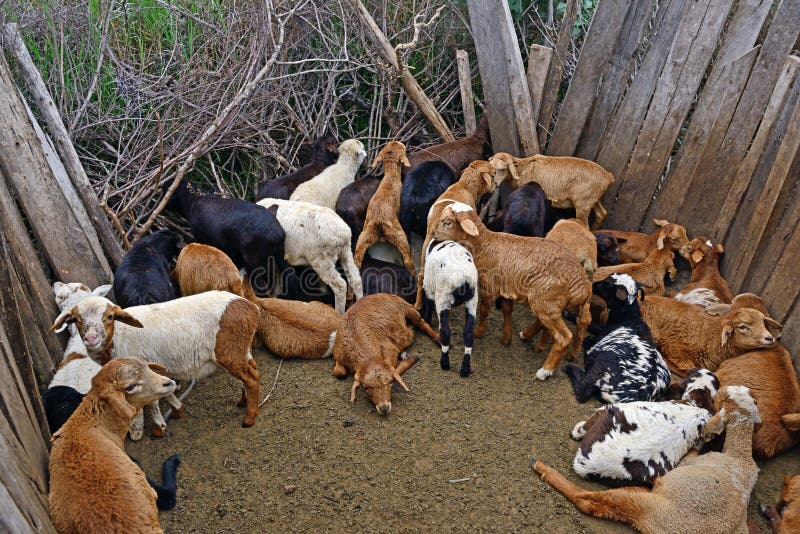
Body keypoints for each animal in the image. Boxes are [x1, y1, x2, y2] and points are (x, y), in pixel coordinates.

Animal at [49, 291, 261, 434]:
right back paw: (243, 402)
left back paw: (250, 418)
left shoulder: (142, 372)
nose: (91, 338)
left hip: (229, 352)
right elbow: (166, 390)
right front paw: (177, 409)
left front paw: (159, 426)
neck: (117, 337)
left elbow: (152, 399)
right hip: (241, 349)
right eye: (75, 319)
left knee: (251, 379)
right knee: (252, 372)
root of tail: (249, 307)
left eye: (109, 317)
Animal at [352, 141, 416, 275]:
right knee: (408, 260)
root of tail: (379, 222)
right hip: (400, 236)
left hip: (363, 238)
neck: (390, 176)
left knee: (356, 261)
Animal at [421, 240, 479, 377]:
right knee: (469, 334)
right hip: (472, 301)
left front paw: (426, 321)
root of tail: (462, 279)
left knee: (445, 331)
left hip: (442, 298)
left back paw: (444, 364)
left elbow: (428, 301)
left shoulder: (428, 284)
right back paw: (465, 369)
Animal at [429, 202, 592, 380]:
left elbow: (484, 310)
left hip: (547, 301)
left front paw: (479, 332)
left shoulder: (488, 286)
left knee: (563, 337)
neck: (484, 245)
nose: (432, 234)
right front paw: (507, 338)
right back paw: (563, 349)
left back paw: (545, 370)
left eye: (447, 222)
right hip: (552, 304)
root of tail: (581, 288)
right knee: (584, 320)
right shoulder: (506, 288)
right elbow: (507, 309)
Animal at [564, 274, 671, 404]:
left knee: (582, 391)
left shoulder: (605, 331)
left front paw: (567, 313)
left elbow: (591, 326)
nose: (593, 284)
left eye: (607, 284)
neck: (629, 318)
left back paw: (571, 367)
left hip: (603, 364)